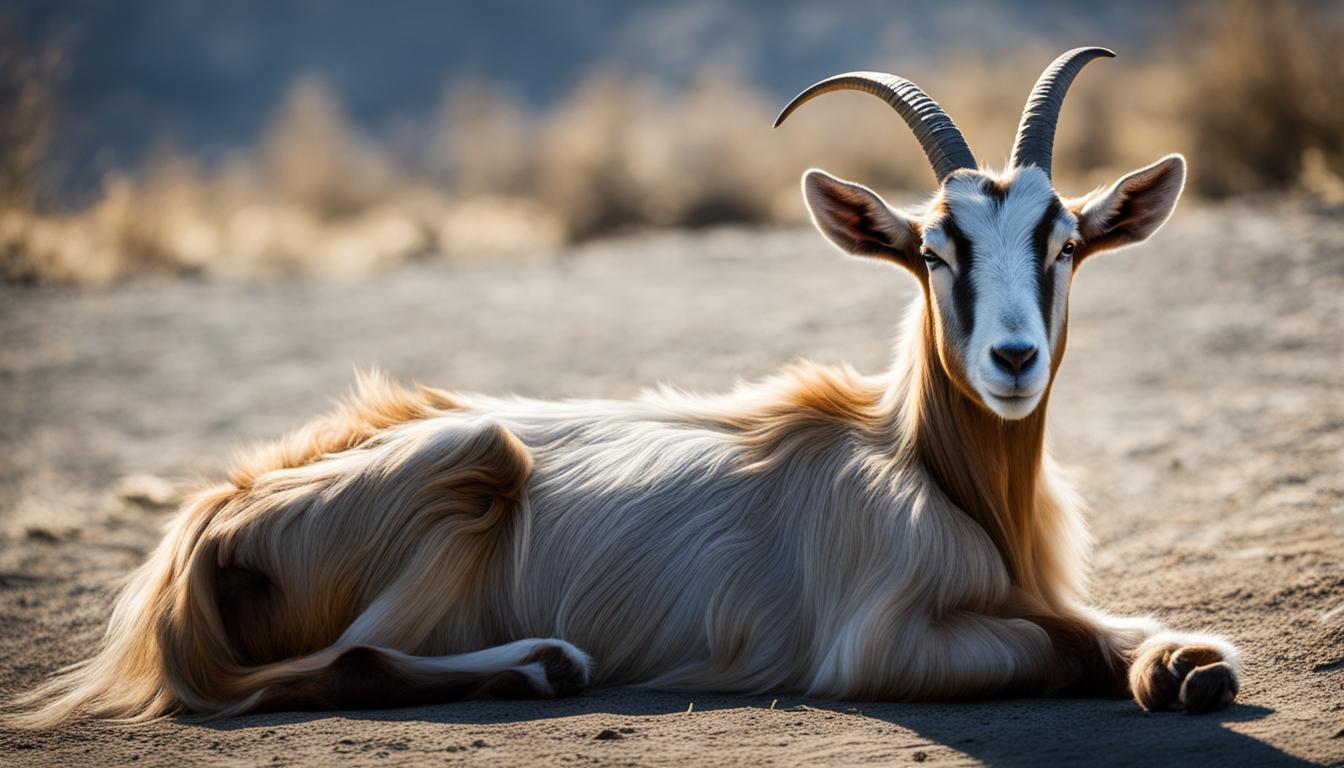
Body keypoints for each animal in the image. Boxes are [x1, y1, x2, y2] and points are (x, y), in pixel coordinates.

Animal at [10, 48, 1239, 727]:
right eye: (935, 249)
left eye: (1064, 240)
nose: (1012, 362)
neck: (931, 466)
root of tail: (202, 535)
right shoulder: (885, 644)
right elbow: (1056, 641)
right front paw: (1169, 669)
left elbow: (1122, 628)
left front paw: (1182, 665)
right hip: (473, 457)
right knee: (338, 660)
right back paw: (540, 663)